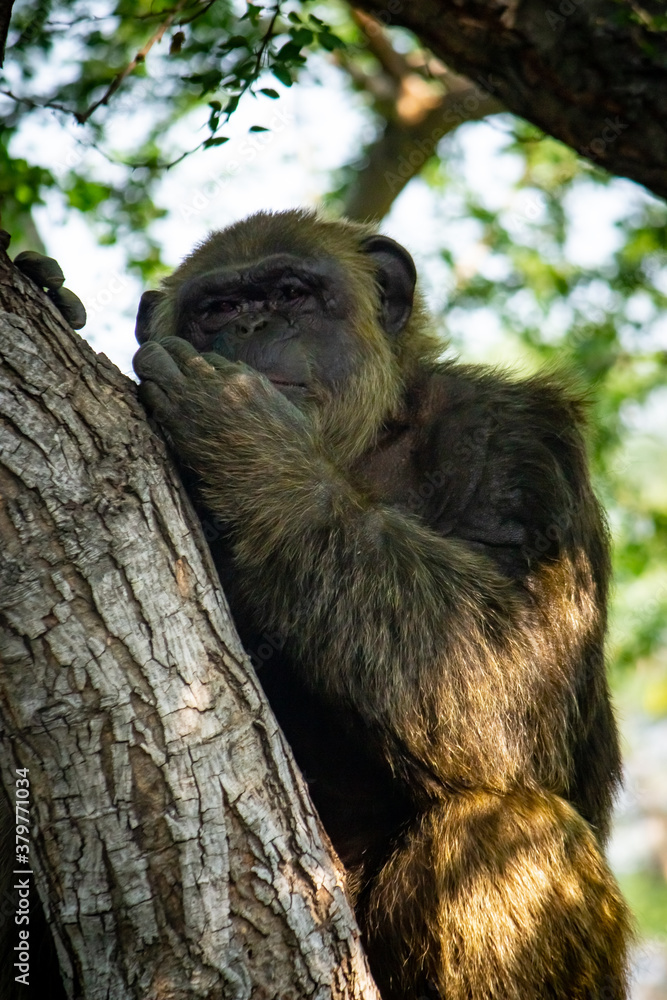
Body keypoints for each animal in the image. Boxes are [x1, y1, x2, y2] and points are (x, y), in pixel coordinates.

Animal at [130, 209, 632, 1000]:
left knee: (507, 831)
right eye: (217, 307)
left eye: (291, 292)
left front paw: (249, 445)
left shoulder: (517, 442)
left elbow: (517, 671)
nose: (250, 325)